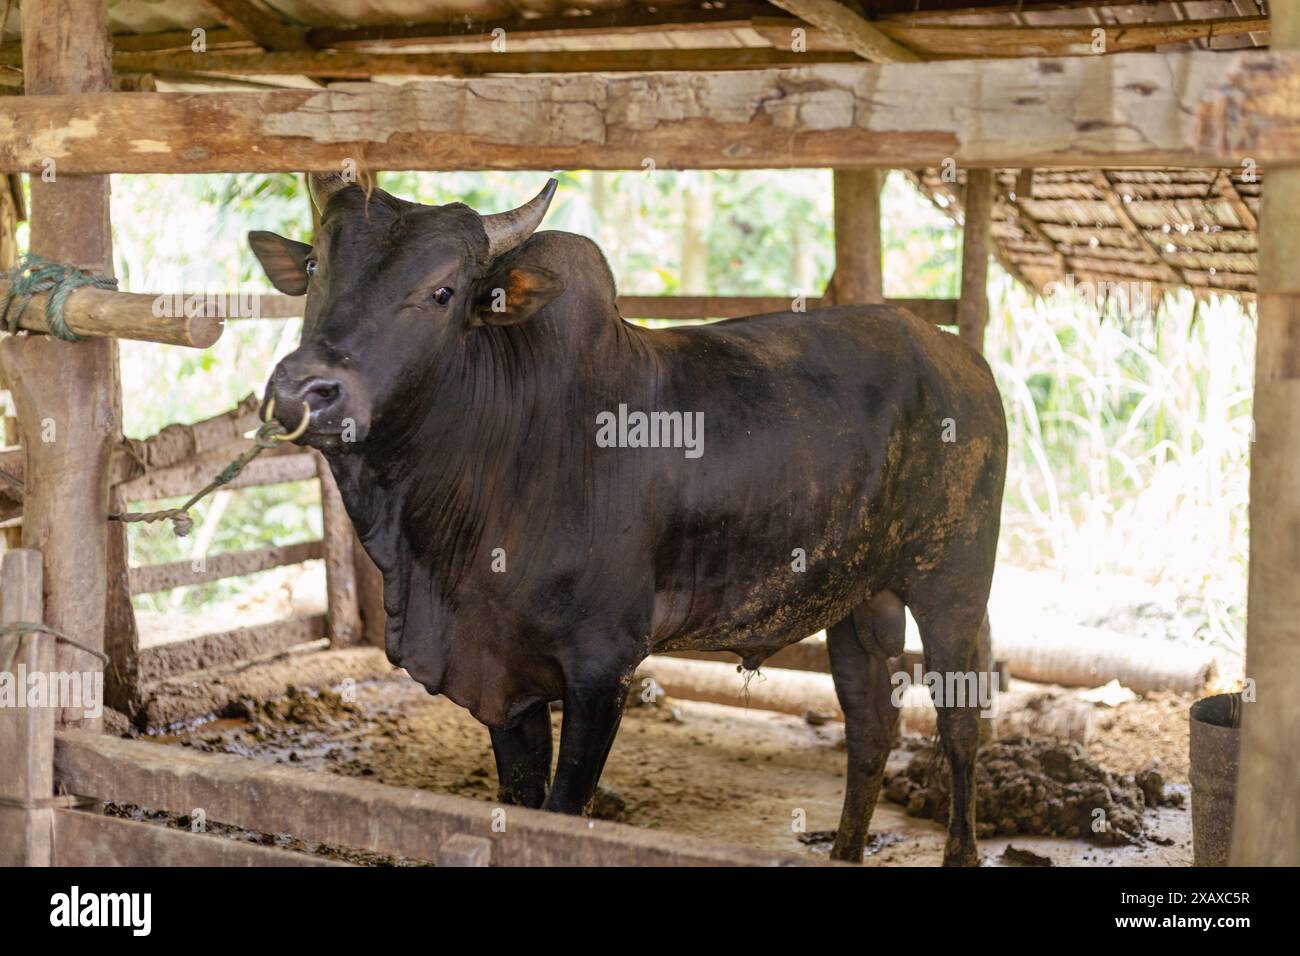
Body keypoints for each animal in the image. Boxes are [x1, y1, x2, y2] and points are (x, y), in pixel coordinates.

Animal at [249, 174, 1007, 865]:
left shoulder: (602, 666)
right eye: (314, 268)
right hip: (856, 596)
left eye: (442, 293)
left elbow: (563, 811)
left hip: (954, 587)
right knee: (870, 725)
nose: (305, 391)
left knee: (960, 725)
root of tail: (963, 357)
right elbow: (521, 804)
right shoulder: (503, 680)